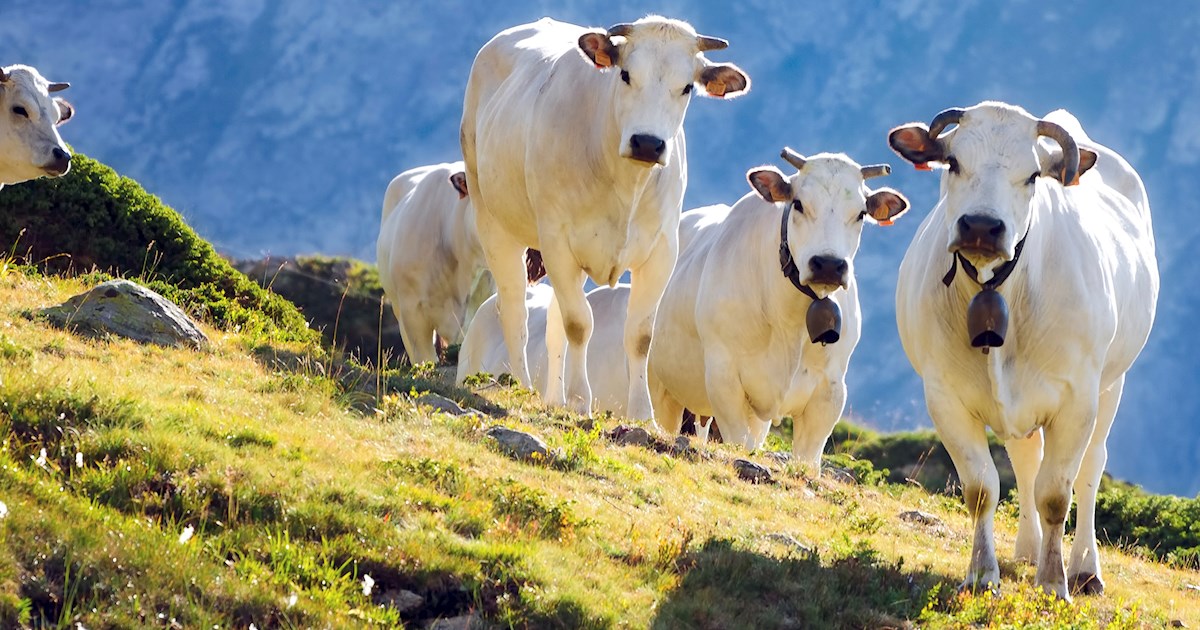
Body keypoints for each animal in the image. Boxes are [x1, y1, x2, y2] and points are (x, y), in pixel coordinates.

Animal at [460, 16, 749, 420]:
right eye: (625, 74)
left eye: (687, 87)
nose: (648, 142)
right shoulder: (557, 240)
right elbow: (579, 323)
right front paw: (581, 399)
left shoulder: (661, 251)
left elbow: (639, 335)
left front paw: (642, 413)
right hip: (491, 215)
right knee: (514, 305)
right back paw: (522, 383)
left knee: (553, 322)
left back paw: (554, 396)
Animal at [647, 150, 909, 472]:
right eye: (798, 203)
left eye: (861, 213)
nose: (829, 264)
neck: (790, 319)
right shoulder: (724, 377)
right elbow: (741, 444)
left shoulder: (830, 389)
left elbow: (807, 460)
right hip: (660, 384)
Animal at [888, 101, 1158, 600]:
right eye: (952, 162)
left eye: (1033, 175)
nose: (980, 226)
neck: (996, 287)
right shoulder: (945, 397)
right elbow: (982, 489)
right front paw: (981, 574)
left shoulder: (1077, 400)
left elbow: (1056, 493)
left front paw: (1054, 583)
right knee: (1026, 460)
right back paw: (1029, 550)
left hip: (1111, 383)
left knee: (1091, 467)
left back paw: (1085, 569)